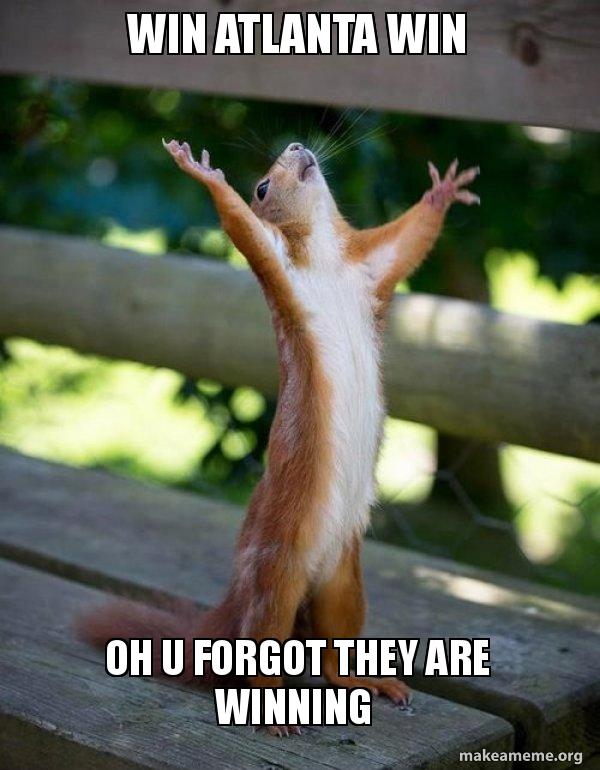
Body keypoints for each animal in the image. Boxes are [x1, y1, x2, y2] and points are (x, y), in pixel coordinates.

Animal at [78, 138, 479, 737]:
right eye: (262, 186)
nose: (296, 146)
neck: (327, 259)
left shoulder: (371, 267)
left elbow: (408, 241)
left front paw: (444, 191)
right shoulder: (278, 266)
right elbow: (242, 227)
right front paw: (204, 174)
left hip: (343, 582)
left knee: (335, 653)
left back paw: (367, 682)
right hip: (277, 571)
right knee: (260, 641)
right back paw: (272, 707)